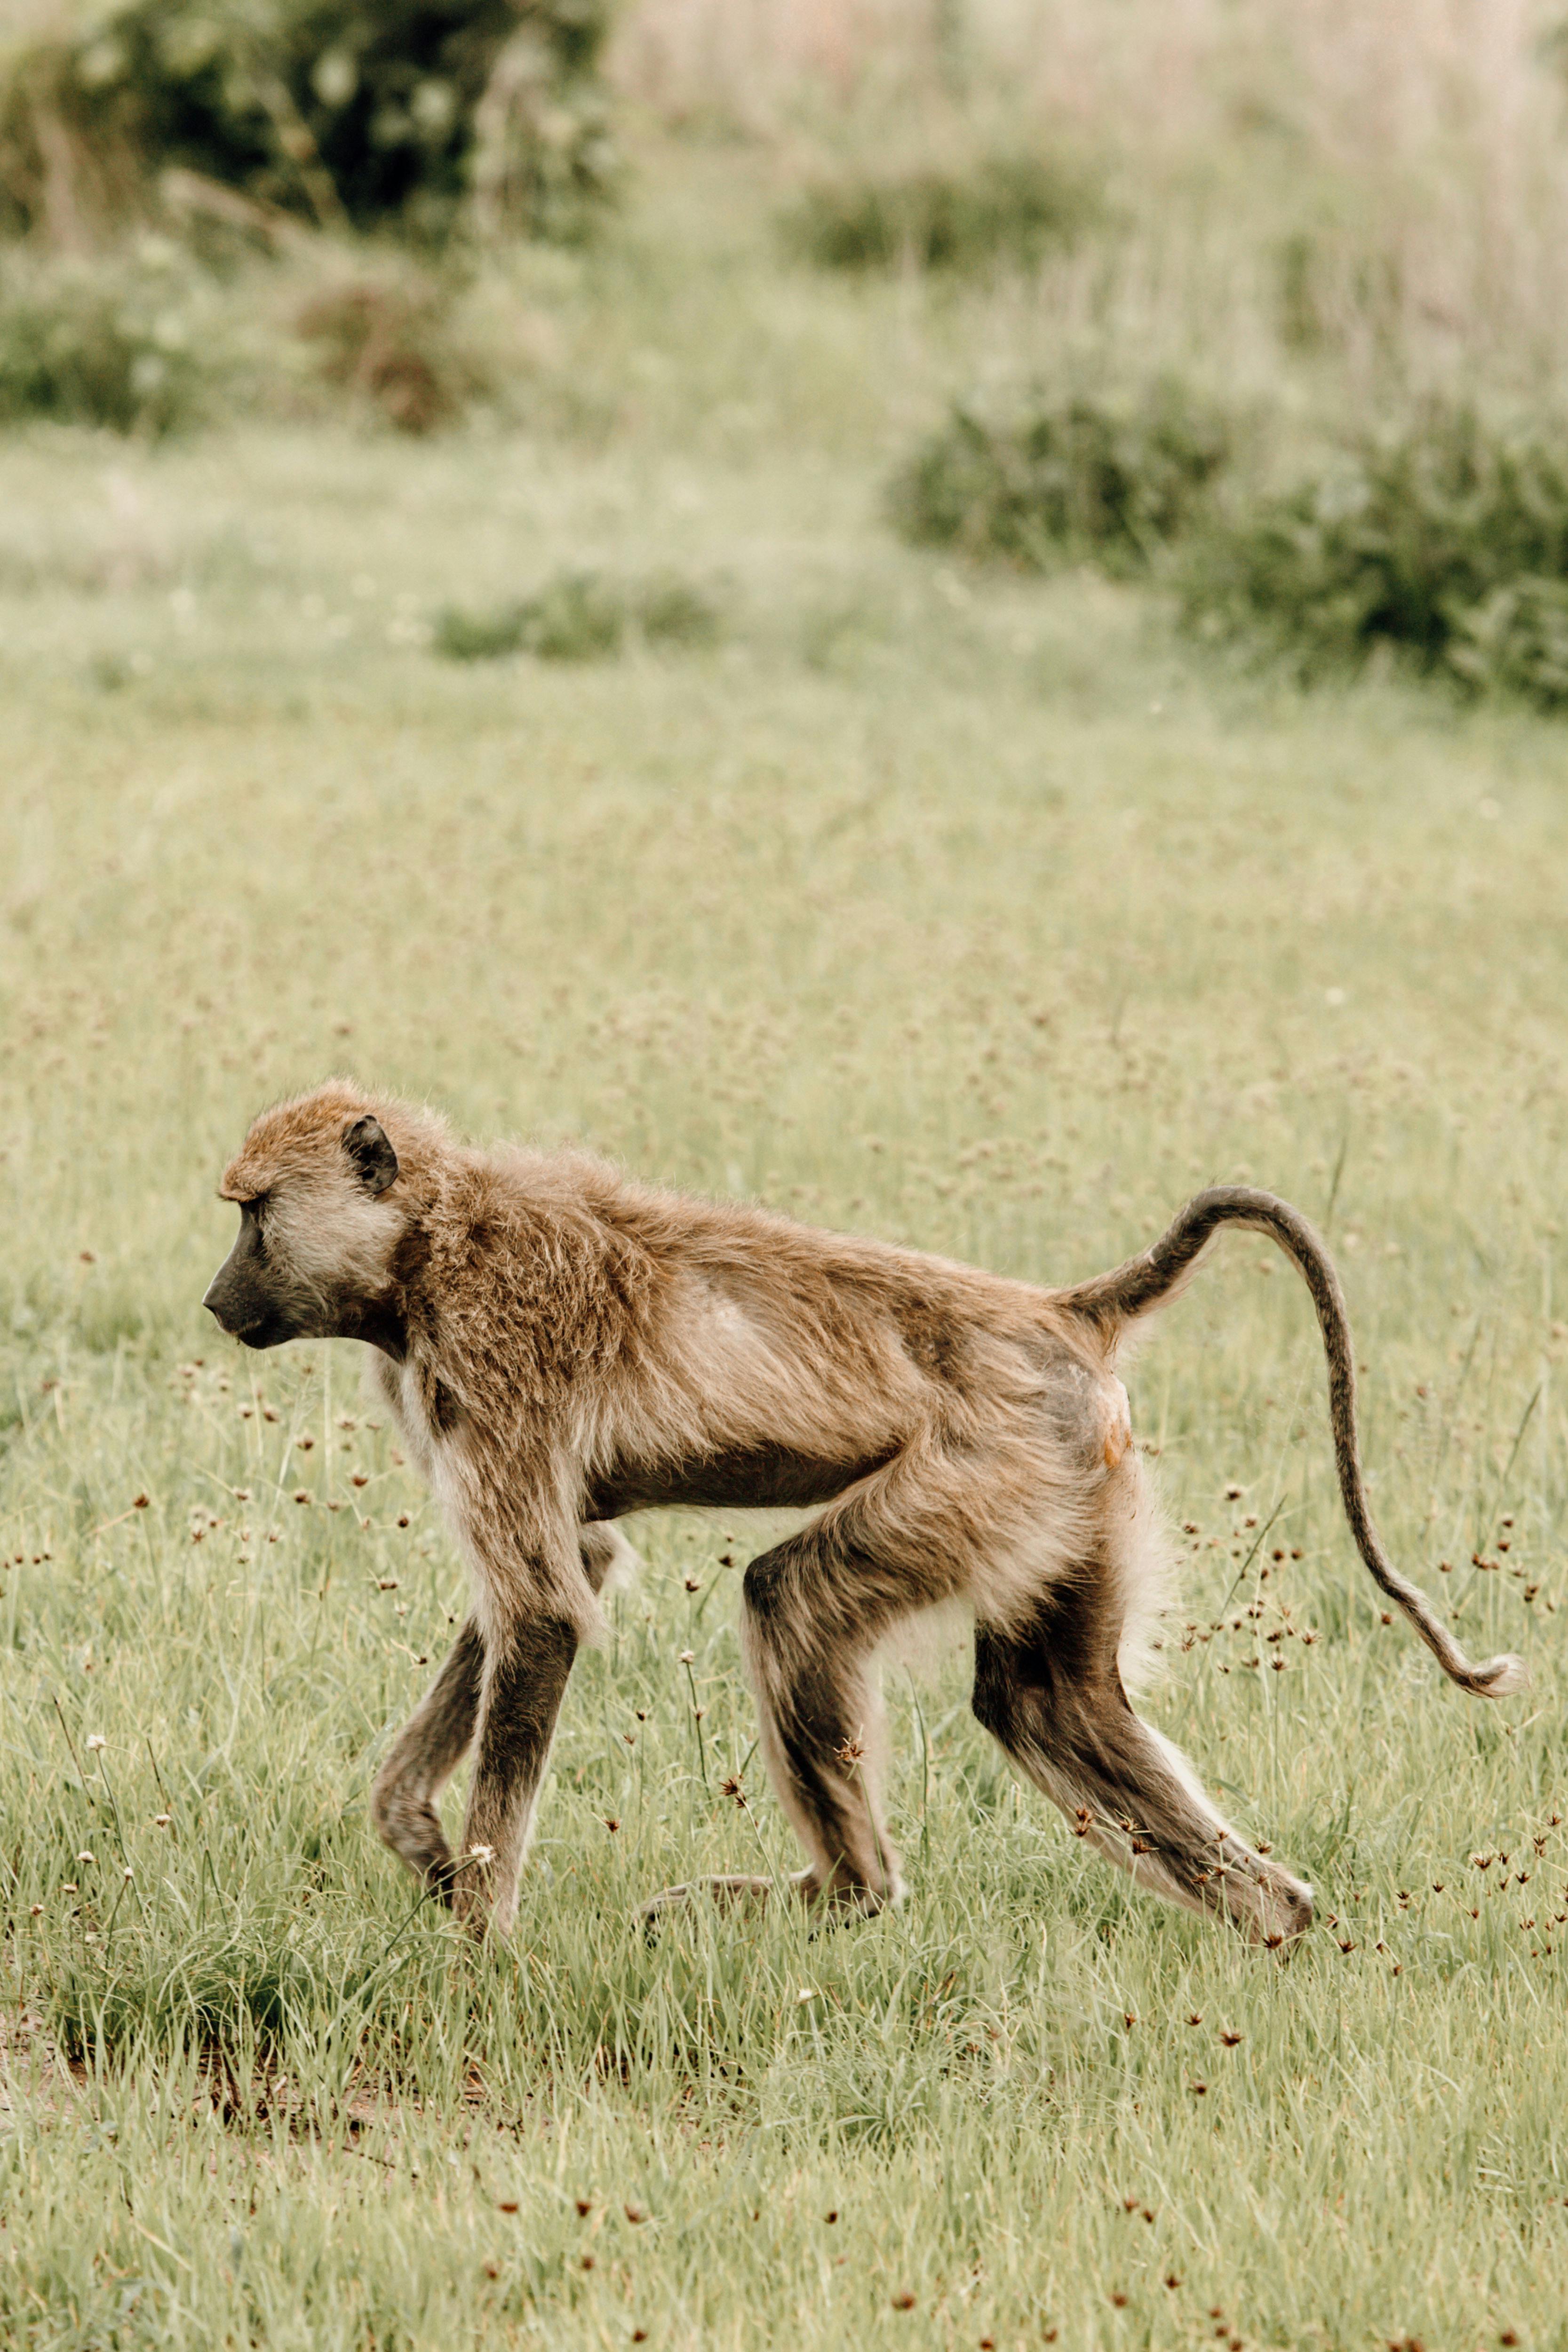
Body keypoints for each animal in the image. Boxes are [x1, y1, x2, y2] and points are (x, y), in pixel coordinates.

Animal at [203, 1081, 1525, 1950]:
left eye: (252, 1213)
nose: (216, 1301)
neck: (430, 1243)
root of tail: (1063, 1312)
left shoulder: (493, 1354)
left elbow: (541, 1610)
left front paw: (475, 1940)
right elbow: (562, 1568)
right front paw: (415, 1837)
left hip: (984, 1470)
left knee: (793, 1601)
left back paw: (845, 1895)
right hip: (1069, 1485)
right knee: (1048, 1702)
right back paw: (1275, 1923)